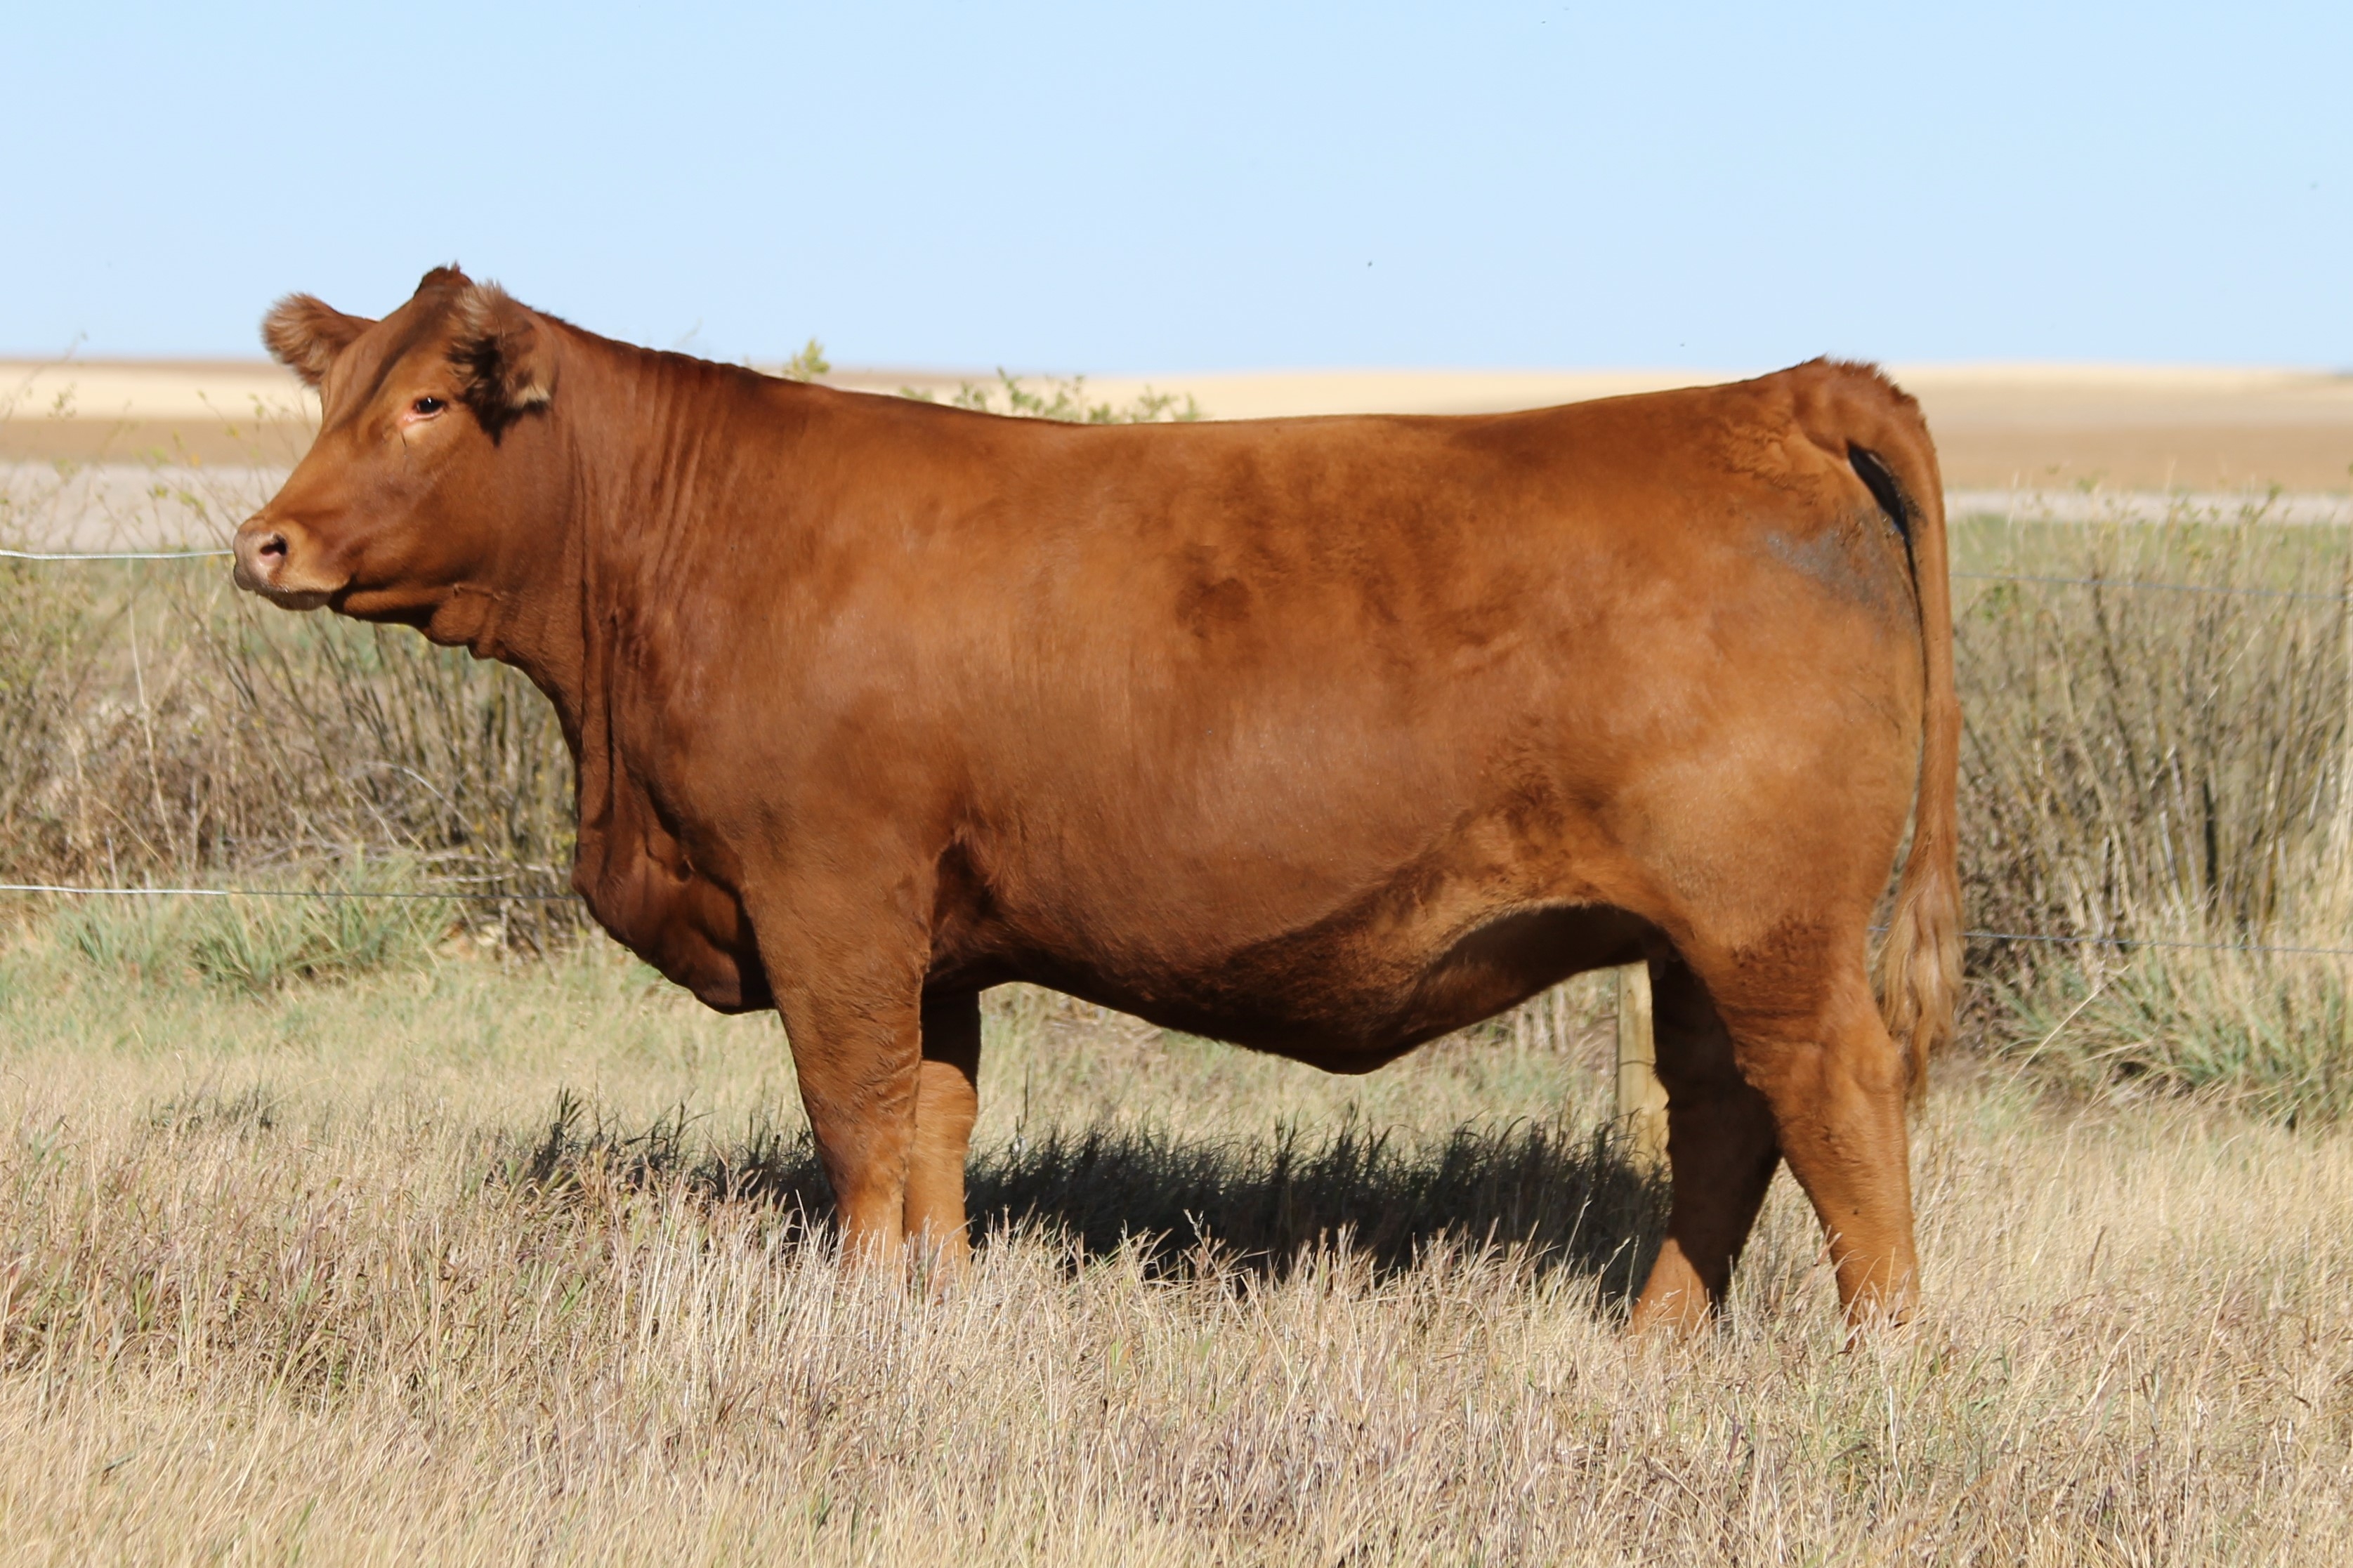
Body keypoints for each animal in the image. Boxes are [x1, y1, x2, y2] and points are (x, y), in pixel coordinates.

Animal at [235, 266, 1959, 1333]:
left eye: (427, 407)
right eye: (334, 397)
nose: (265, 542)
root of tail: (1773, 395)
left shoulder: (828, 897)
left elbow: (855, 1122)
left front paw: (854, 1320)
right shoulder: (931, 938)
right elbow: (935, 1123)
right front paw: (930, 1312)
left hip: (1771, 926)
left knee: (1839, 1105)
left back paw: (1880, 1364)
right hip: (1697, 942)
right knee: (1725, 1120)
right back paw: (1654, 1348)